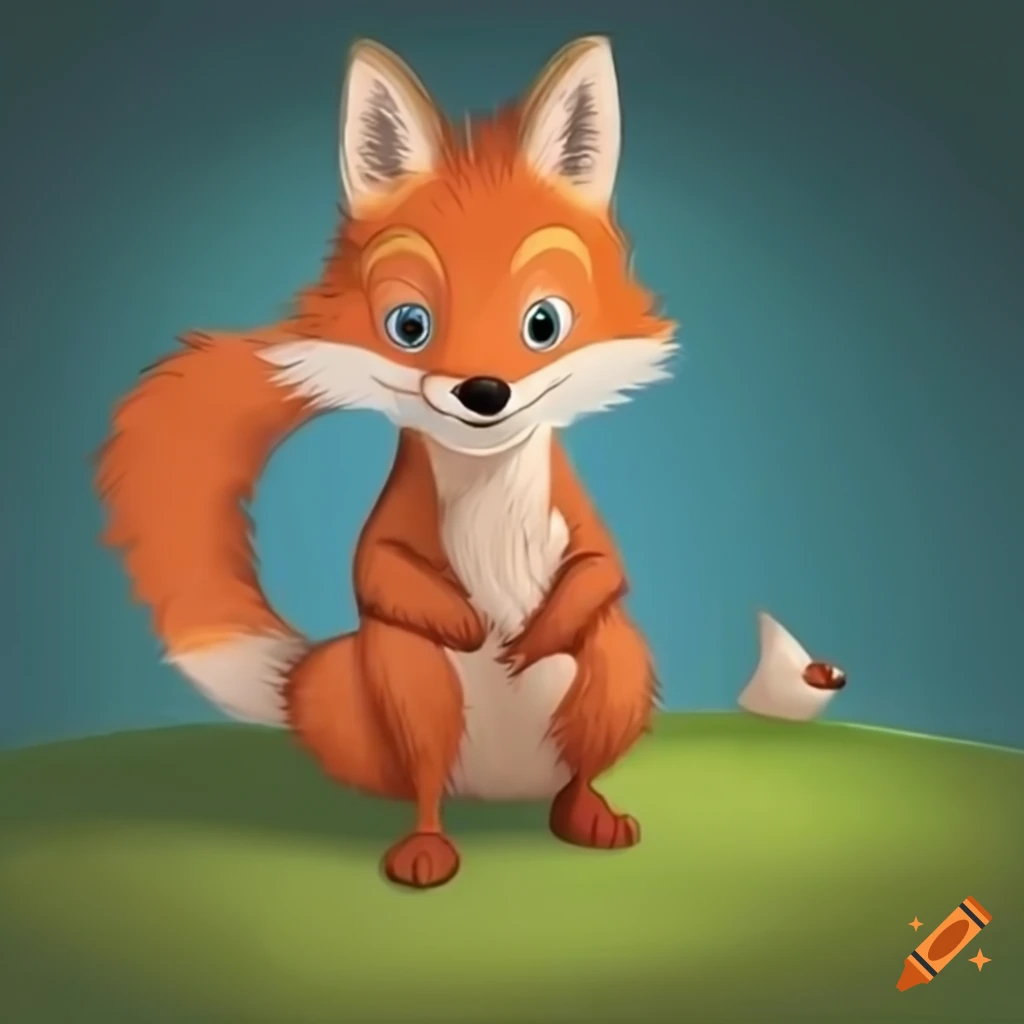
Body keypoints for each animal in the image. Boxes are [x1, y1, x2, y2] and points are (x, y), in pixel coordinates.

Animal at [95, 35, 678, 888]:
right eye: (409, 324)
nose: (484, 391)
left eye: (544, 323)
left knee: (580, 747)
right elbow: (377, 573)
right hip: (409, 680)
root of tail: (495, 793)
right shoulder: (388, 541)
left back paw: (585, 816)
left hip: (615, 669)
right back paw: (426, 847)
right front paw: (470, 623)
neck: (487, 487)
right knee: (424, 779)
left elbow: (605, 572)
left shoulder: (582, 526)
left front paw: (529, 637)